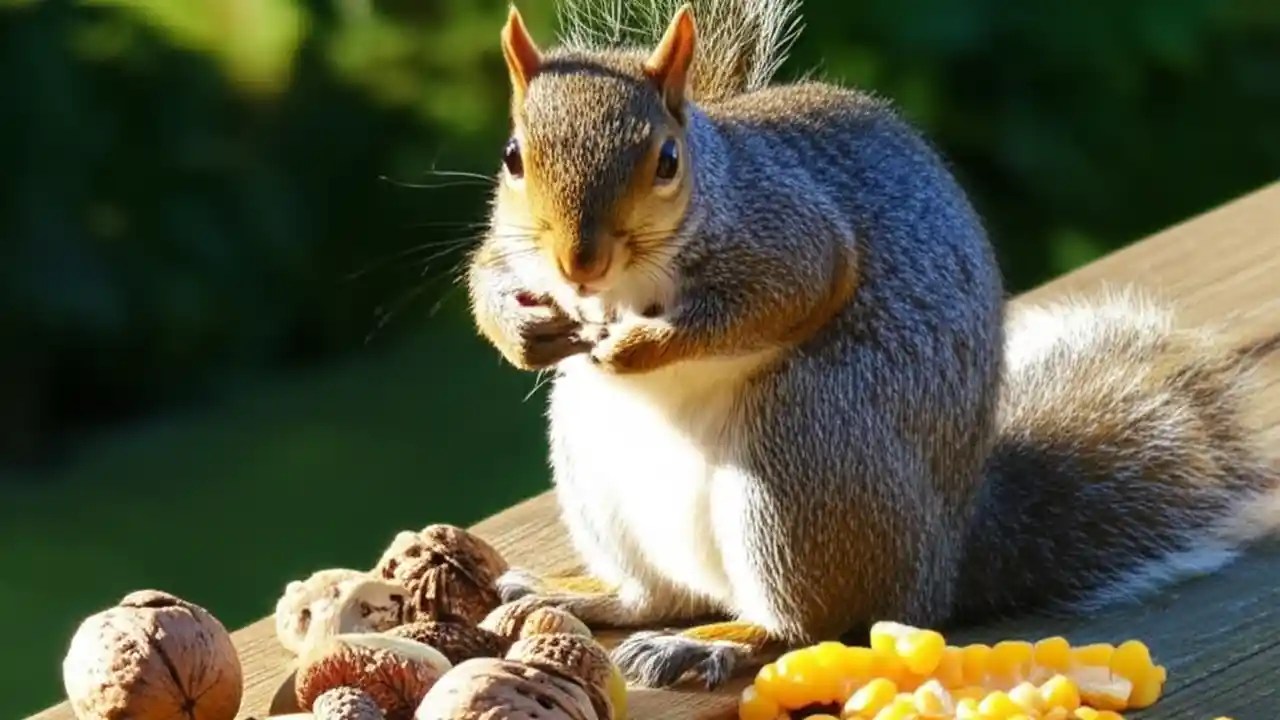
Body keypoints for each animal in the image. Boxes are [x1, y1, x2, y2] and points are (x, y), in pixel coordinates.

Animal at [463, 0, 1280, 690]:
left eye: (666, 160)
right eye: (511, 156)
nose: (579, 262)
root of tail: (944, 565)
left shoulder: (790, 232)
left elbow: (789, 291)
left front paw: (638, 348)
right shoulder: (513, 244)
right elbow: (487, 272)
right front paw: (520, 329)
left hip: (802, 462)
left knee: (807, 626)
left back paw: (710, 642)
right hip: (599, 464)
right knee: (653, 594)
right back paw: (581, 594)